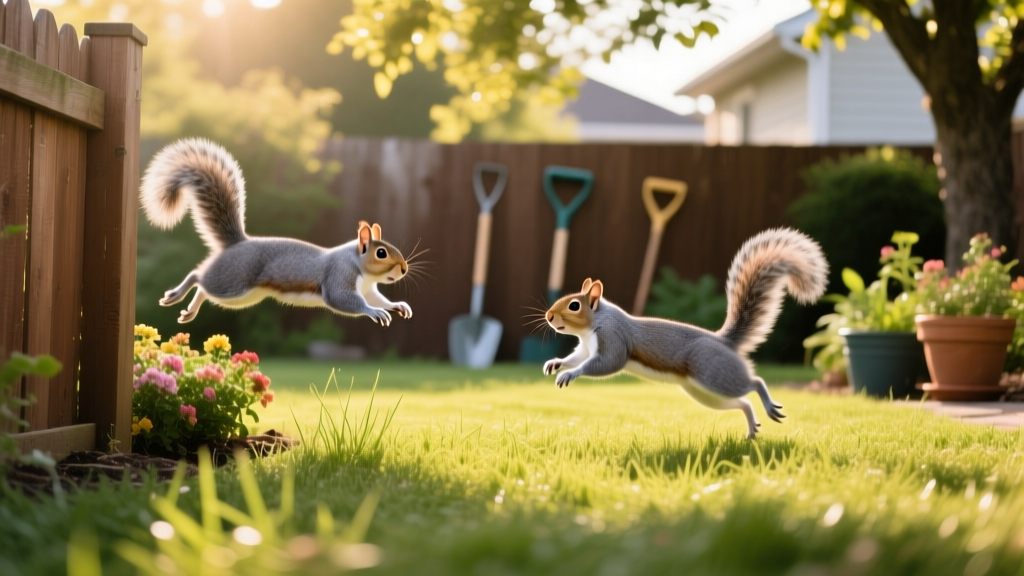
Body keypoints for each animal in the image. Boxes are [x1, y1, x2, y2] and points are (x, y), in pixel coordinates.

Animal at [139, 137, 413, 326]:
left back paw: (190, 311)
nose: (403, 269)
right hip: (234, 281)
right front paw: (374, 312)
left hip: (241, 297)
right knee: (198, 276)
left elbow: (379, 299)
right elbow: (343, 299)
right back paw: (176, 294)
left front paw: (397, 305)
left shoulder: (368, 289)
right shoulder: (339, 275)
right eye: (381, 252)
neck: (360, 268)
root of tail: (236, 244)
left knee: (204, 289)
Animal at [541, 228, 828, 439]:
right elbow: (576, 357)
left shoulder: (614, 339)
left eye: (574, 305)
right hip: (705, 393)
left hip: (713, 373)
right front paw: (556, 364)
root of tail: (723, 342)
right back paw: (751, 428)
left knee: (754, 383)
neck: (592, 327)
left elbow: (605, 363)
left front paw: (570, 374)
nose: (549, 316)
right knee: (743, 402)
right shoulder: (585, 347)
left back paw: (767, 405)